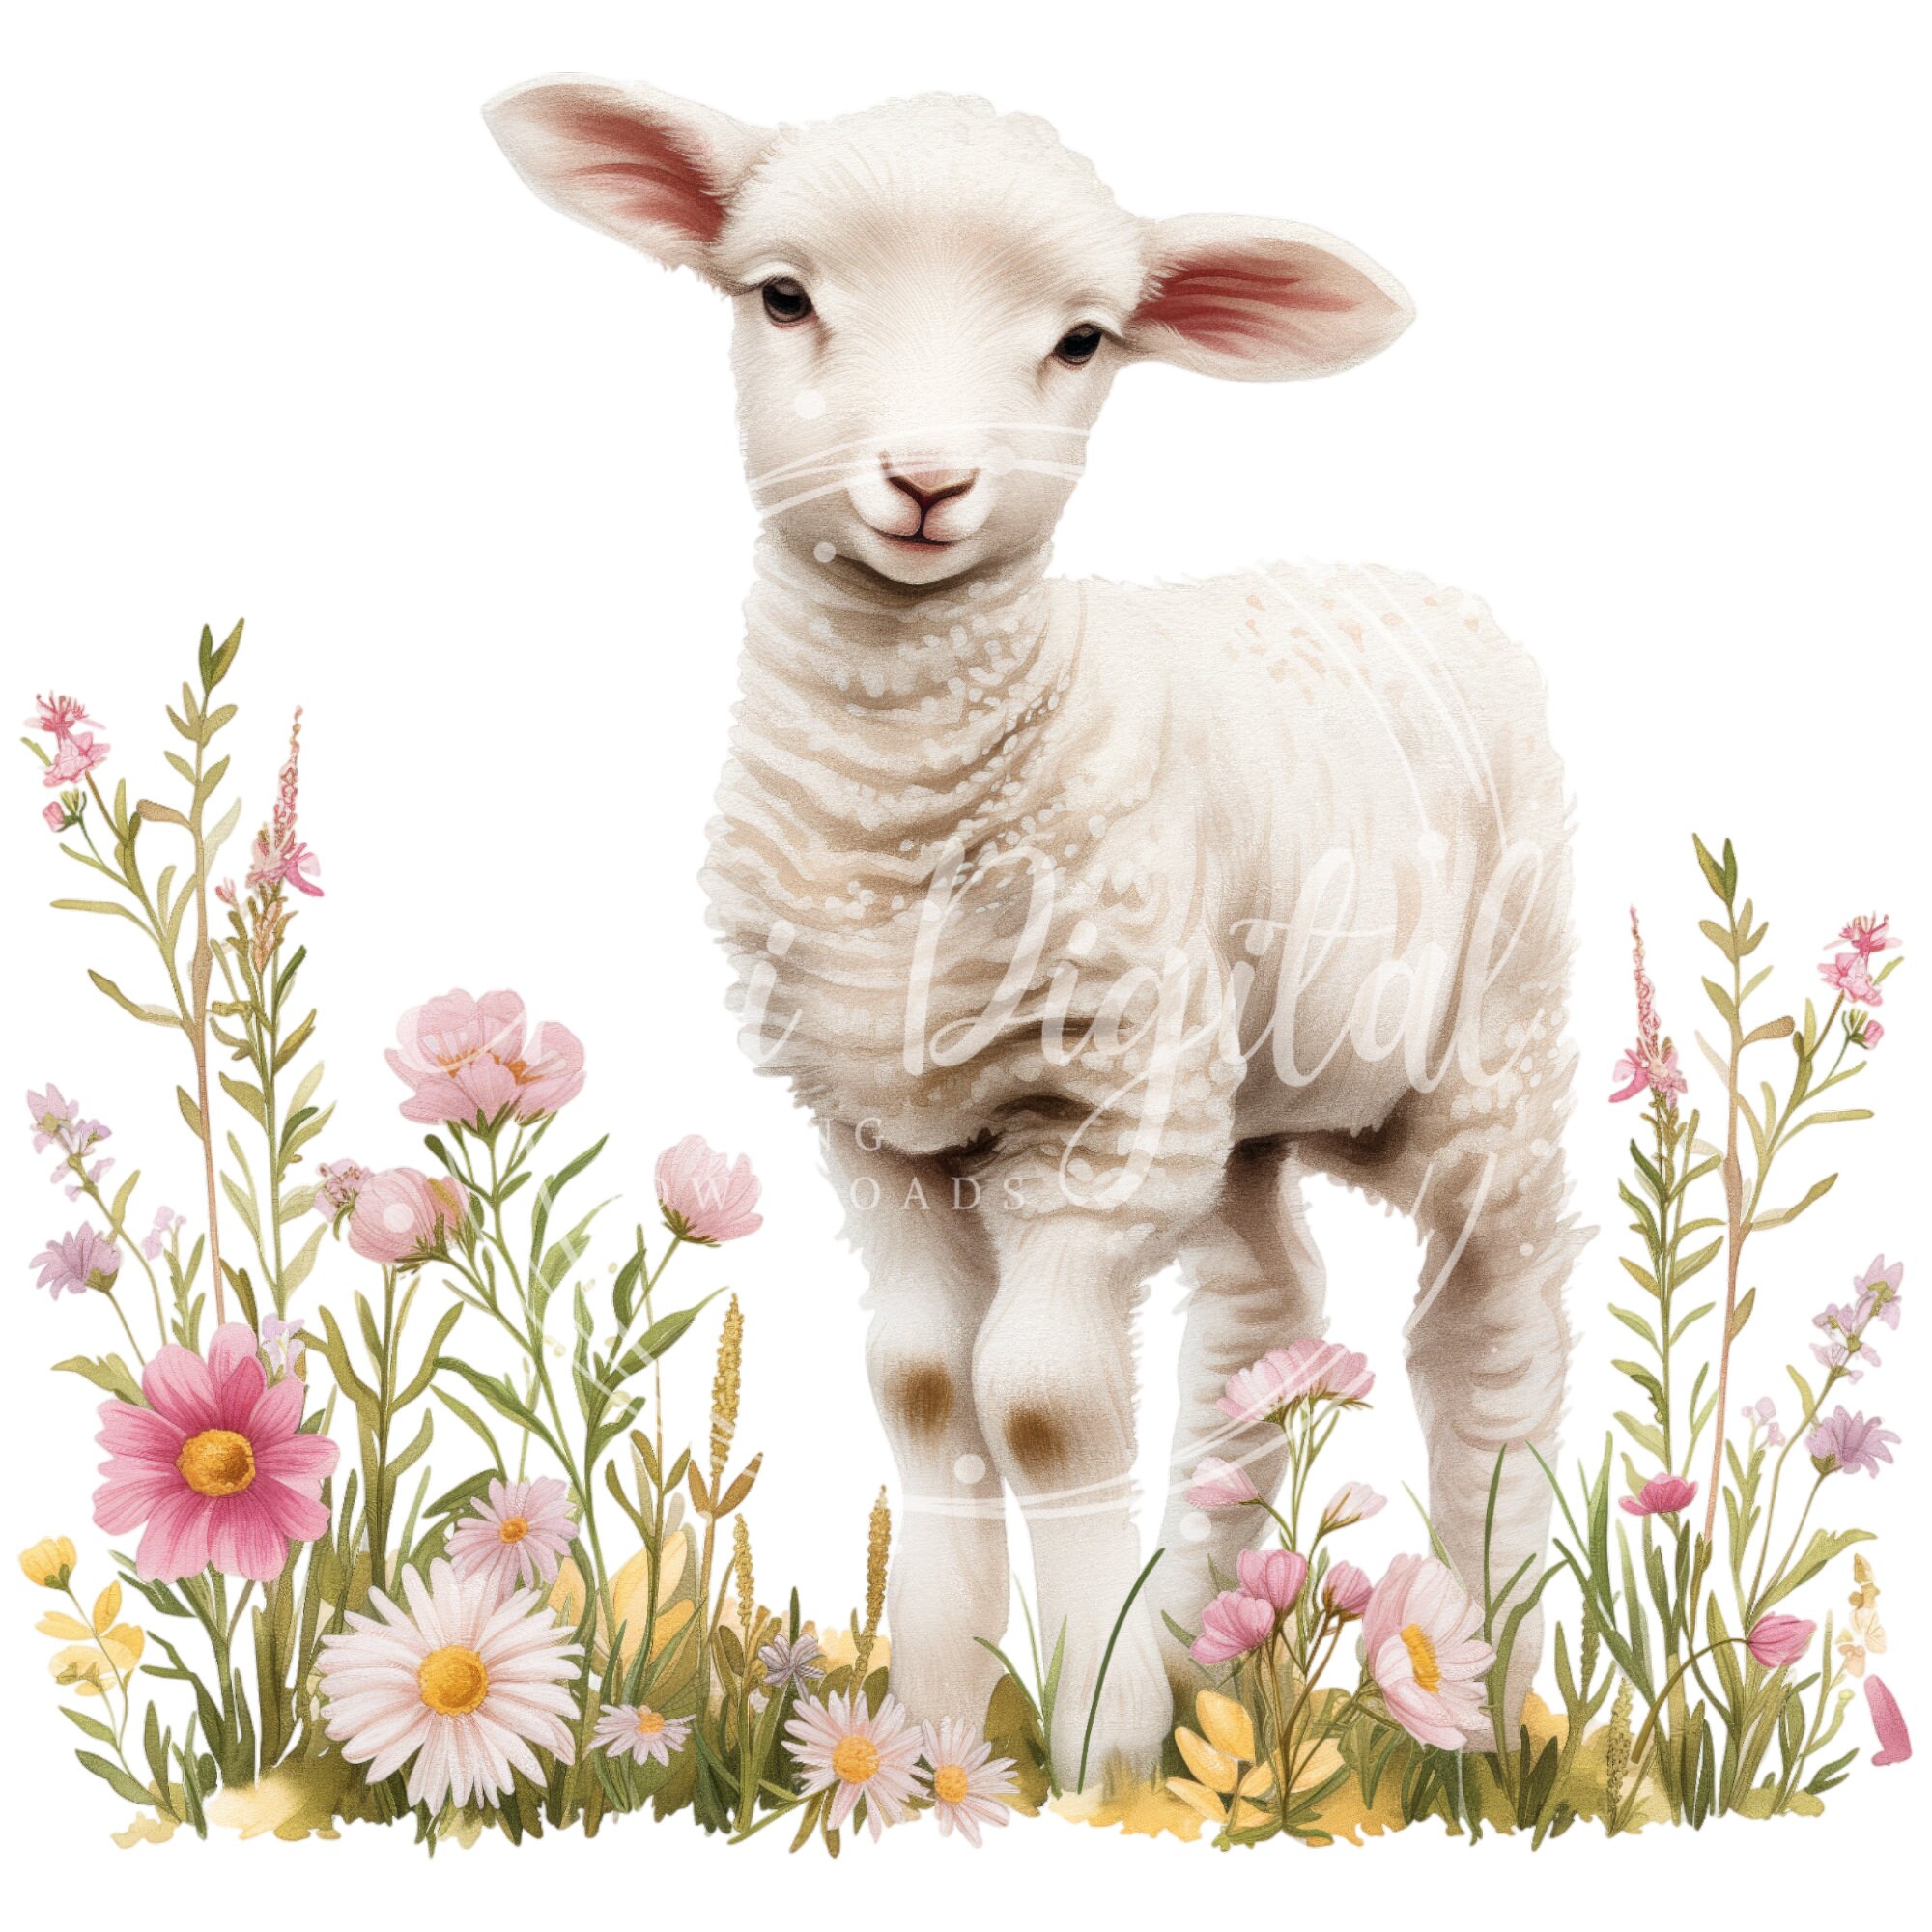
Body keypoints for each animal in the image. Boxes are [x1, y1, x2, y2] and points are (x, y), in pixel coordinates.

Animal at [485, 78, 1583, 1788]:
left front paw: (1102, 1739)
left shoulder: (1113, 1113)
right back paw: (1208, 1641)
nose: (928, 482)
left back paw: (1483, 1717)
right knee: (1262, 1315)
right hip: (1234, 1093)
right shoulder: (875, 1124)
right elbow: (928, 1388)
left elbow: (1046, 1402)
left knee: (1489, 1347)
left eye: (1081, 341)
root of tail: (1407, 578)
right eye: (782, 296)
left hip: (1483, 1059)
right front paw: (932, 1736)